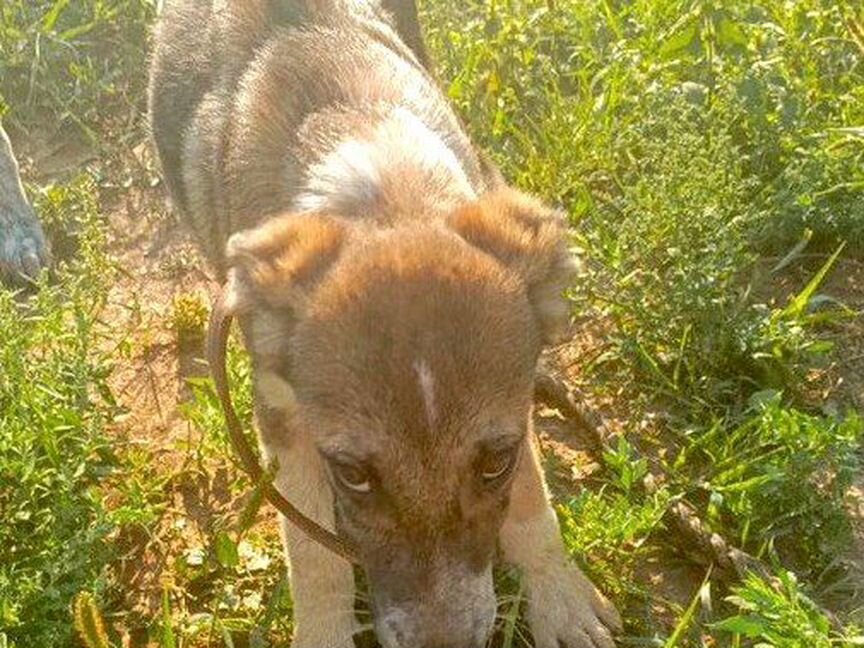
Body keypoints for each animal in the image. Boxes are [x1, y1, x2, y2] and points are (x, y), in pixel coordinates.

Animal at [150, 1, 620, 648]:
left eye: (494, 462)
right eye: (352, 475)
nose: (445, 645)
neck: (388, 198)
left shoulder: (516, 411)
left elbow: (532, 502)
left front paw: (561, 598)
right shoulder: (285, 421)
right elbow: (314, 559)